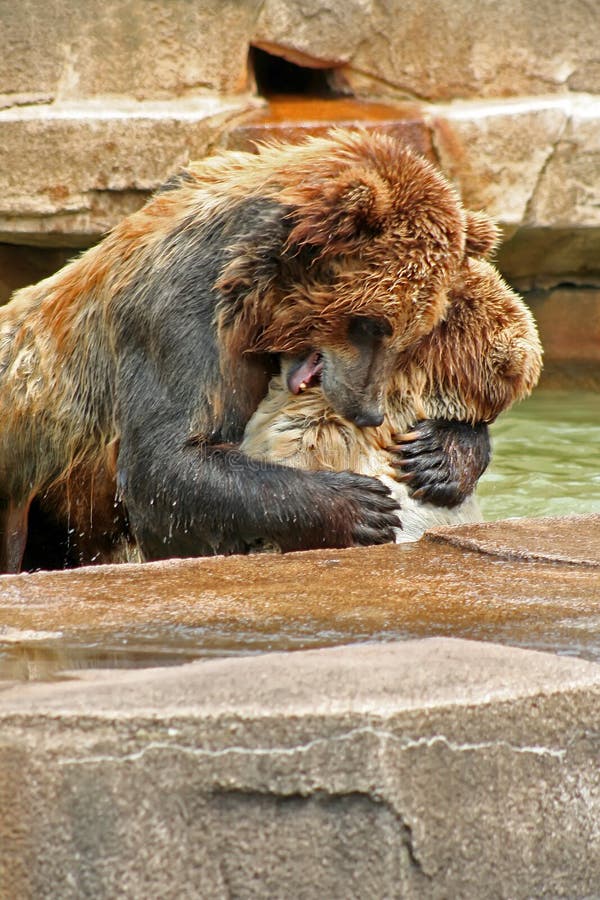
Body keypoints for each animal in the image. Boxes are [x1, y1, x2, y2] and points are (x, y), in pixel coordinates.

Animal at [0, 129, 496, 573]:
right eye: (373, 323)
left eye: (415, 331)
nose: (369, 411)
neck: (258, 299)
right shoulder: (180, 320)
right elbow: (167, 462)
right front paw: (360, 506)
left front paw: (440, 456)